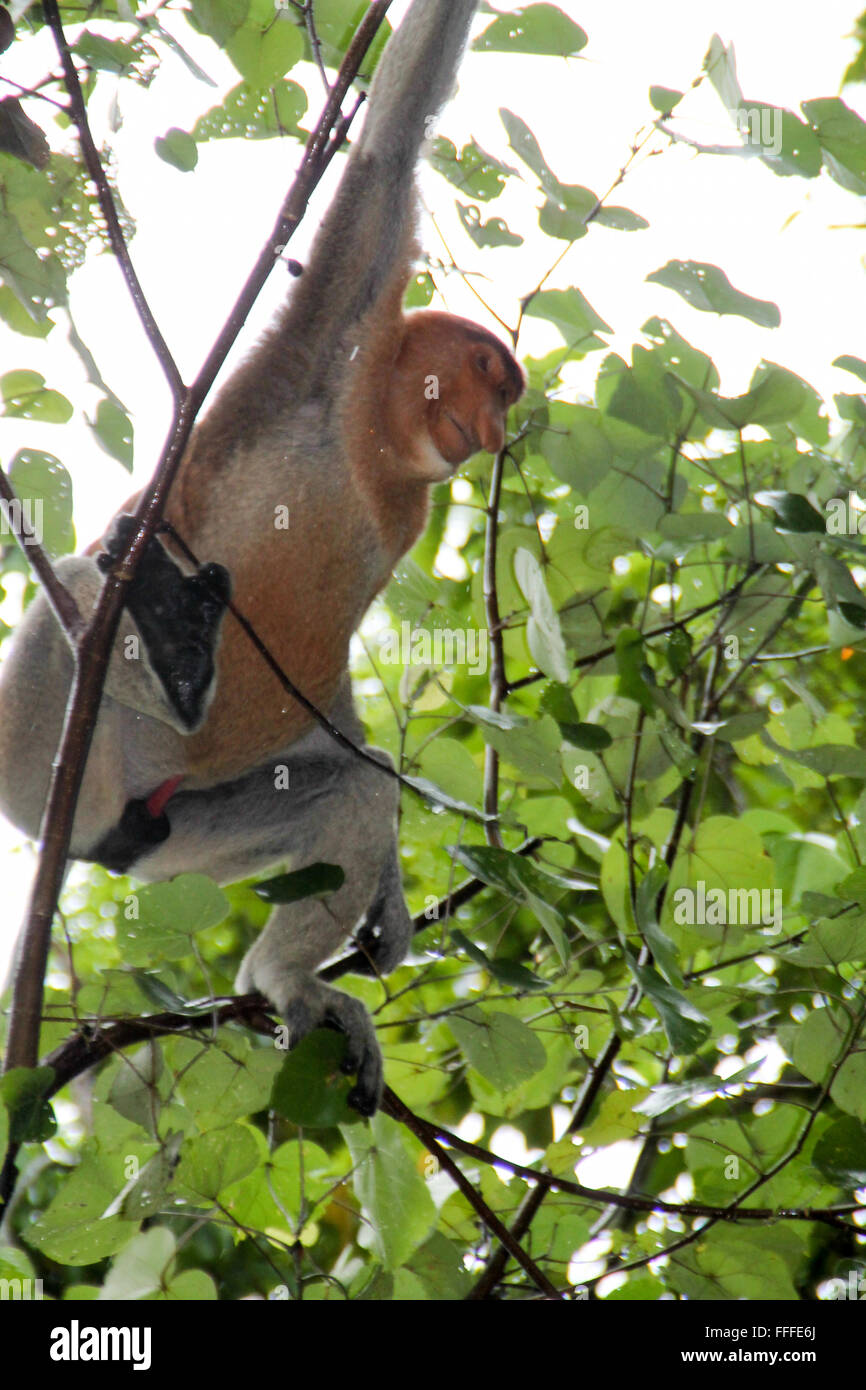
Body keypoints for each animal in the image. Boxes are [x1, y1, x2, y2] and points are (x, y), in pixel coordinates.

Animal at [0, 0, 524, 1116]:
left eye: (505, 395)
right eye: (486, 374)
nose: (499, 432)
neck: (377, 452)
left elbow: (345, 733)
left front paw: (390, 905)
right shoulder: (338, 321)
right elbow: (389, 146)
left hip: (182, 832)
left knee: (354, 789)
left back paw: (286, 980)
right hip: (38, 747)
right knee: (83, 578)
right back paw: (166, 648)